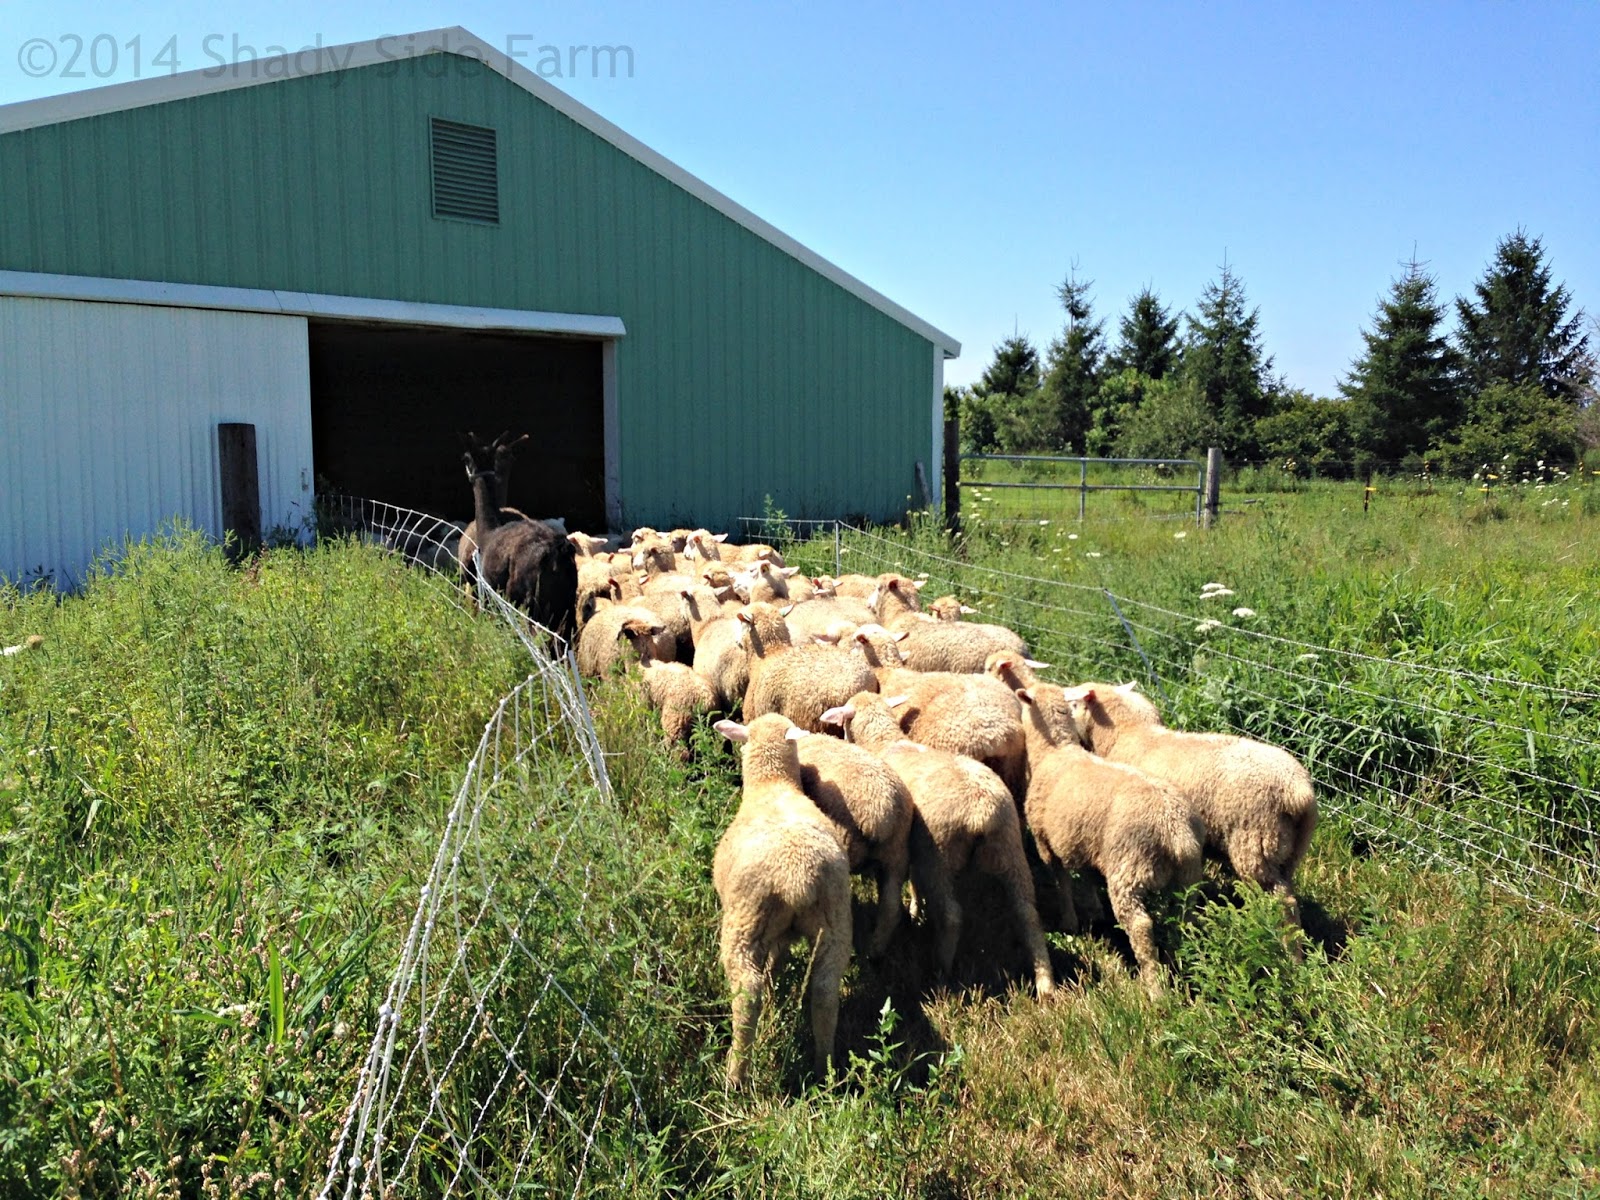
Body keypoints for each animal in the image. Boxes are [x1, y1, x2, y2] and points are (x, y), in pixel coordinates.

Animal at [712, 714, 853, 1088]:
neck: (773, 784)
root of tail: (796, 877)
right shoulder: (781, 935)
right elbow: (777, 963)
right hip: (834, 922)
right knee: (824, 991)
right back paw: (824, 1066)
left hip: (743, 926)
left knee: (747, 995)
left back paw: (735, 1075)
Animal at [820, 692, 1054, 996]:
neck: (886, 743)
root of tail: (983, 811)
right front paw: (916, 912)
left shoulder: (917, 851)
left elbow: (912, 885)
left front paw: (915, 912)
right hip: (1010, 846)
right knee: (1029, 913)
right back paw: (1046, 985)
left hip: (940, 855)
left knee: (951, 914)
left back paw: (940, 971)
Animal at [1014, 682, 1204, 995]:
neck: (1054, 751)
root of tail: (1176, 828)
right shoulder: (1087, 846)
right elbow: (1088, 880)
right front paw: (1093, 914)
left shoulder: (1046, 844)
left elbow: (1062, 881)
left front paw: (1069, 921)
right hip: (1188, 876)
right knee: (1187, 914)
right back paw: (1184, 958)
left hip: (1129, 869)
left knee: (1139, 925)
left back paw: (1154, 989)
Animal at [1065, 681, 1318, 938]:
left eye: (1073, 704)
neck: (1129, 734)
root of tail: (1298, 790)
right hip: (1289, 852)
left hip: (1256, 843)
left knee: (1282, 901)